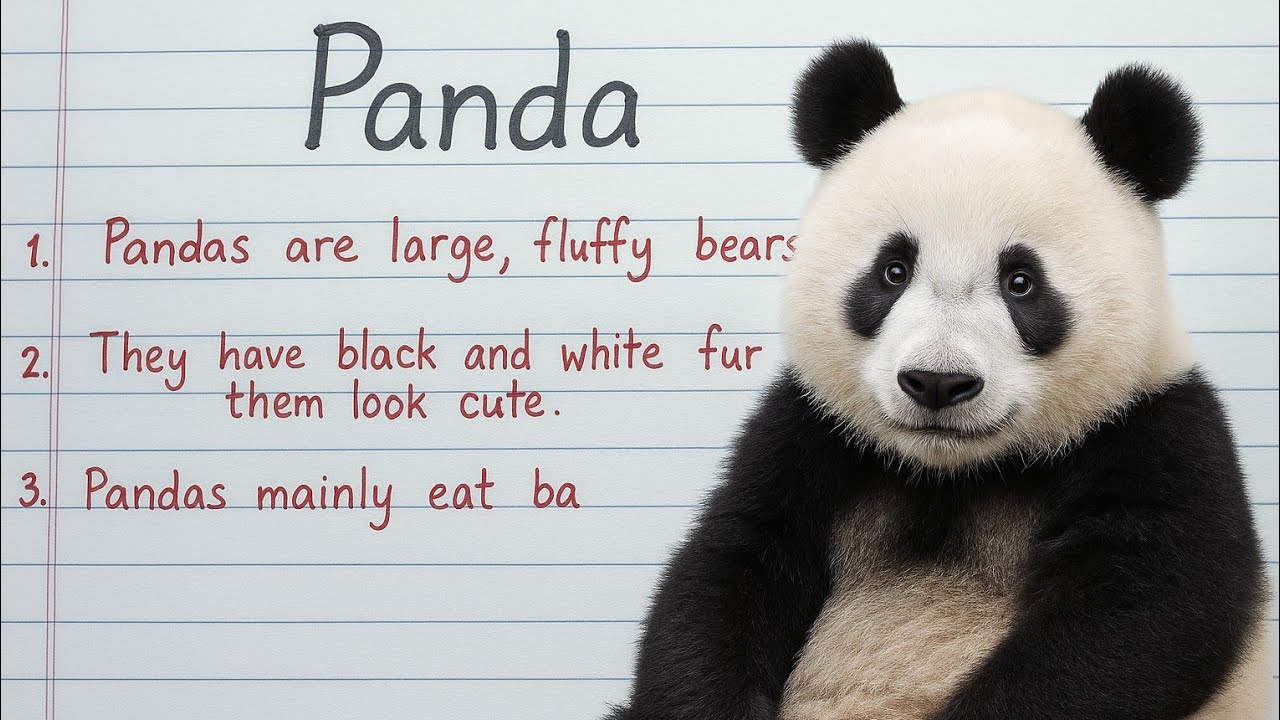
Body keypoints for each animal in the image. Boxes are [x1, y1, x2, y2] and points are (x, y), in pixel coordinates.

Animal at [607, 40, 1274, 720]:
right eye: (893, 270)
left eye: (1021, 282)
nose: (936, 383)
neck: (955, 473)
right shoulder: (811, 429)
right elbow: (732, 566)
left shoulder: (1154, 427)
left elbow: (1138, 614)